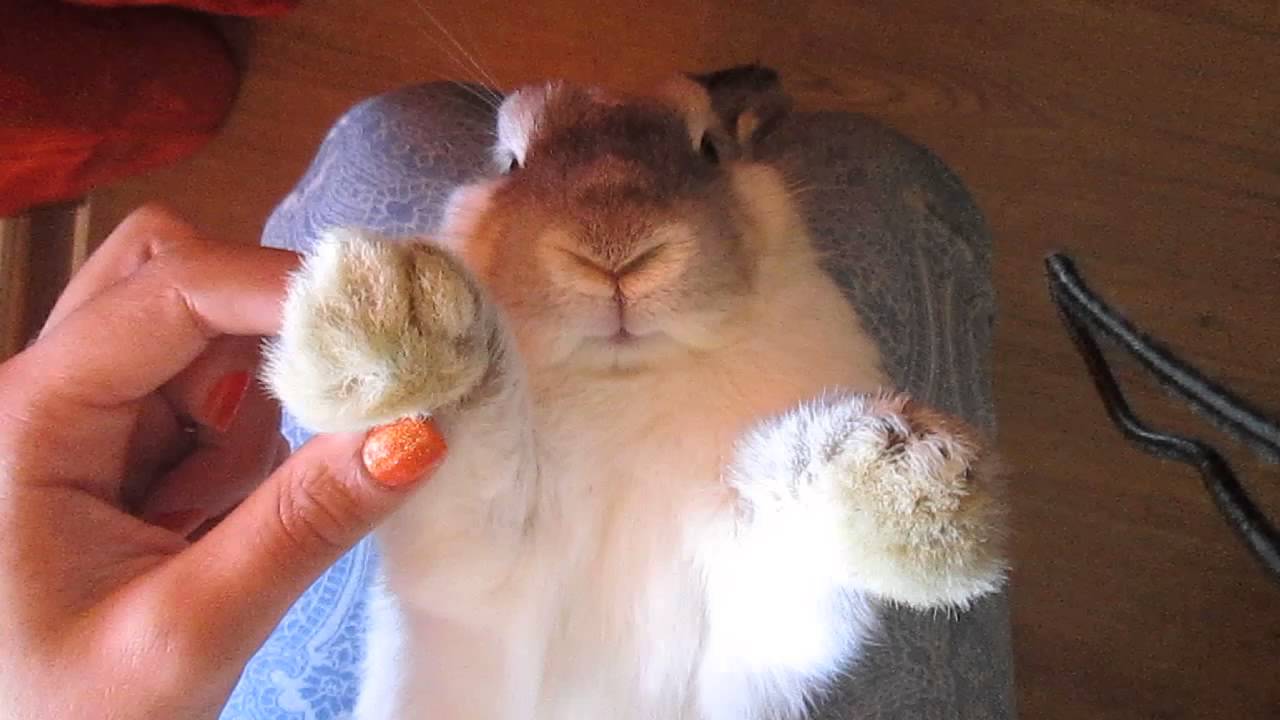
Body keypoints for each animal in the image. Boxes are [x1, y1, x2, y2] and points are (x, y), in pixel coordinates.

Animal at [265, 65, 1007, 720]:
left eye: (709, 148)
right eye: (510, 162)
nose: (613, 252)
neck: (626, 386)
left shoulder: (761, 613)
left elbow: (792, 525)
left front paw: (904, 481)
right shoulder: (479, 552)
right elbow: (469, 421)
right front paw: (388, 303)